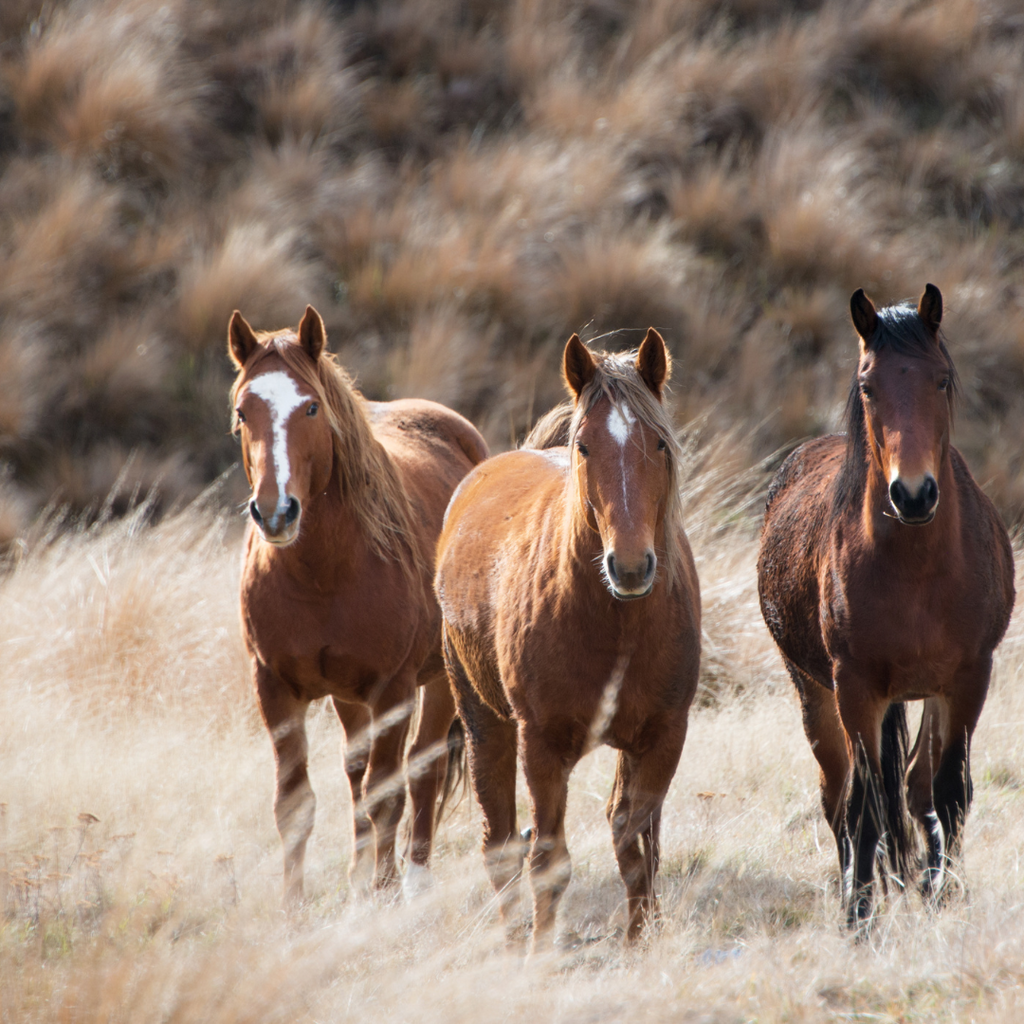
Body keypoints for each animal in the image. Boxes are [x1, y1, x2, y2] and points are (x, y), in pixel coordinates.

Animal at [228, 305, 488, 904]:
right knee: (356, 771)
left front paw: (384, 894)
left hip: (439, 680)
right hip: (347, 697)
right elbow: (295, 802)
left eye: (311, 407)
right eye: (242, 411)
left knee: (421, 769)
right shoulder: (274, 686)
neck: (323, 575)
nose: (275, 512)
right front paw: (294, 906)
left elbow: (388, 791)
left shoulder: (392, 688)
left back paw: (414, 881)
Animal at [435, 329, 701, 950]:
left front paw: (640, 942)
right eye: (584, 447)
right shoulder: (542, 744)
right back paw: (513, 941)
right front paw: (539, 955)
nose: (630, 566)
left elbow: (636, 844)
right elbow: (549, 859)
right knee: (501, 841)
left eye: (658, 443)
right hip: (485, 723)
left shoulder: (664, 736)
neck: (616, 623)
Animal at [757, 284, 1015, 928]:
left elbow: (948, 792)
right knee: (840, 796)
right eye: (869, 385)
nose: (914, 493)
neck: (917, 570)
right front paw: (859, 916)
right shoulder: (856, 688)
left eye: (941, 380)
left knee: (917, 785)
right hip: (814, 691)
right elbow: (866, 804)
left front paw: (944, 895)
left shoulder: (968, 678)